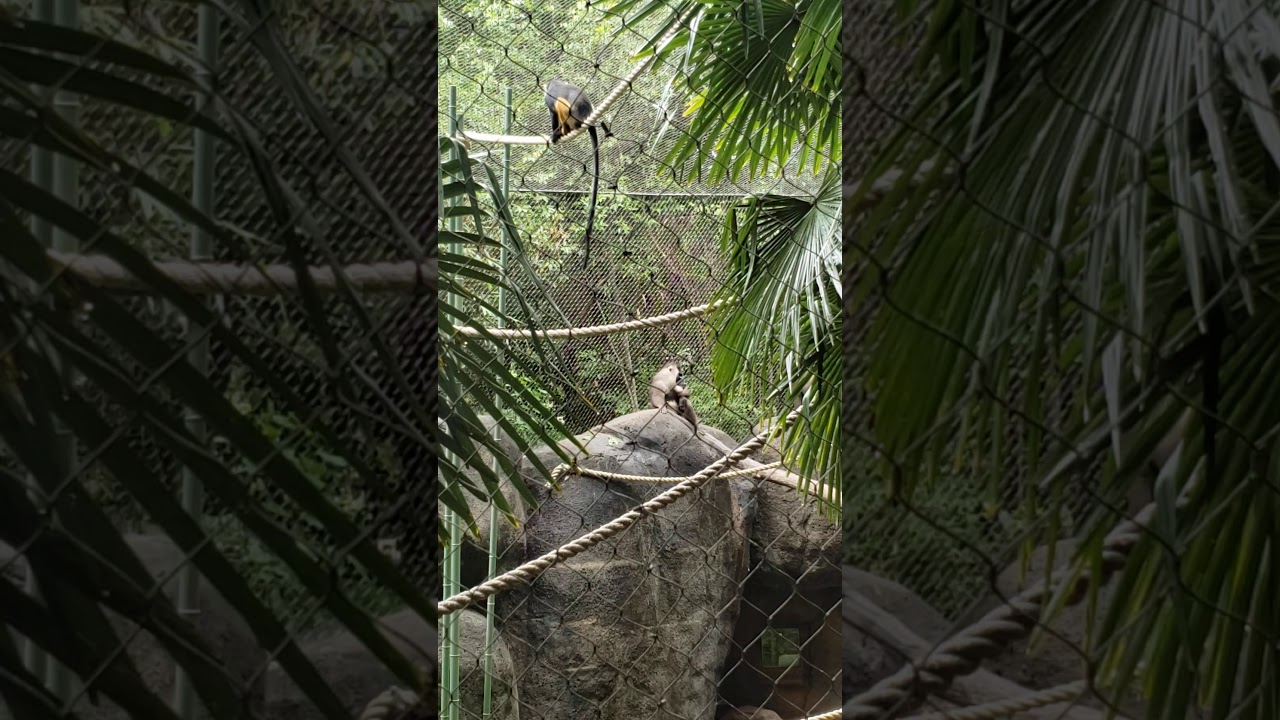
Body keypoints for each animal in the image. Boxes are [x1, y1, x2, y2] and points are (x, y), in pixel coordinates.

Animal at [544, 79, 612, 269]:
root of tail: (586, 118)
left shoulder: (549, 98)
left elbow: (553, 110)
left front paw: (554, 134)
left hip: (572, 118)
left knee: (561, 104)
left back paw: (562, 132)